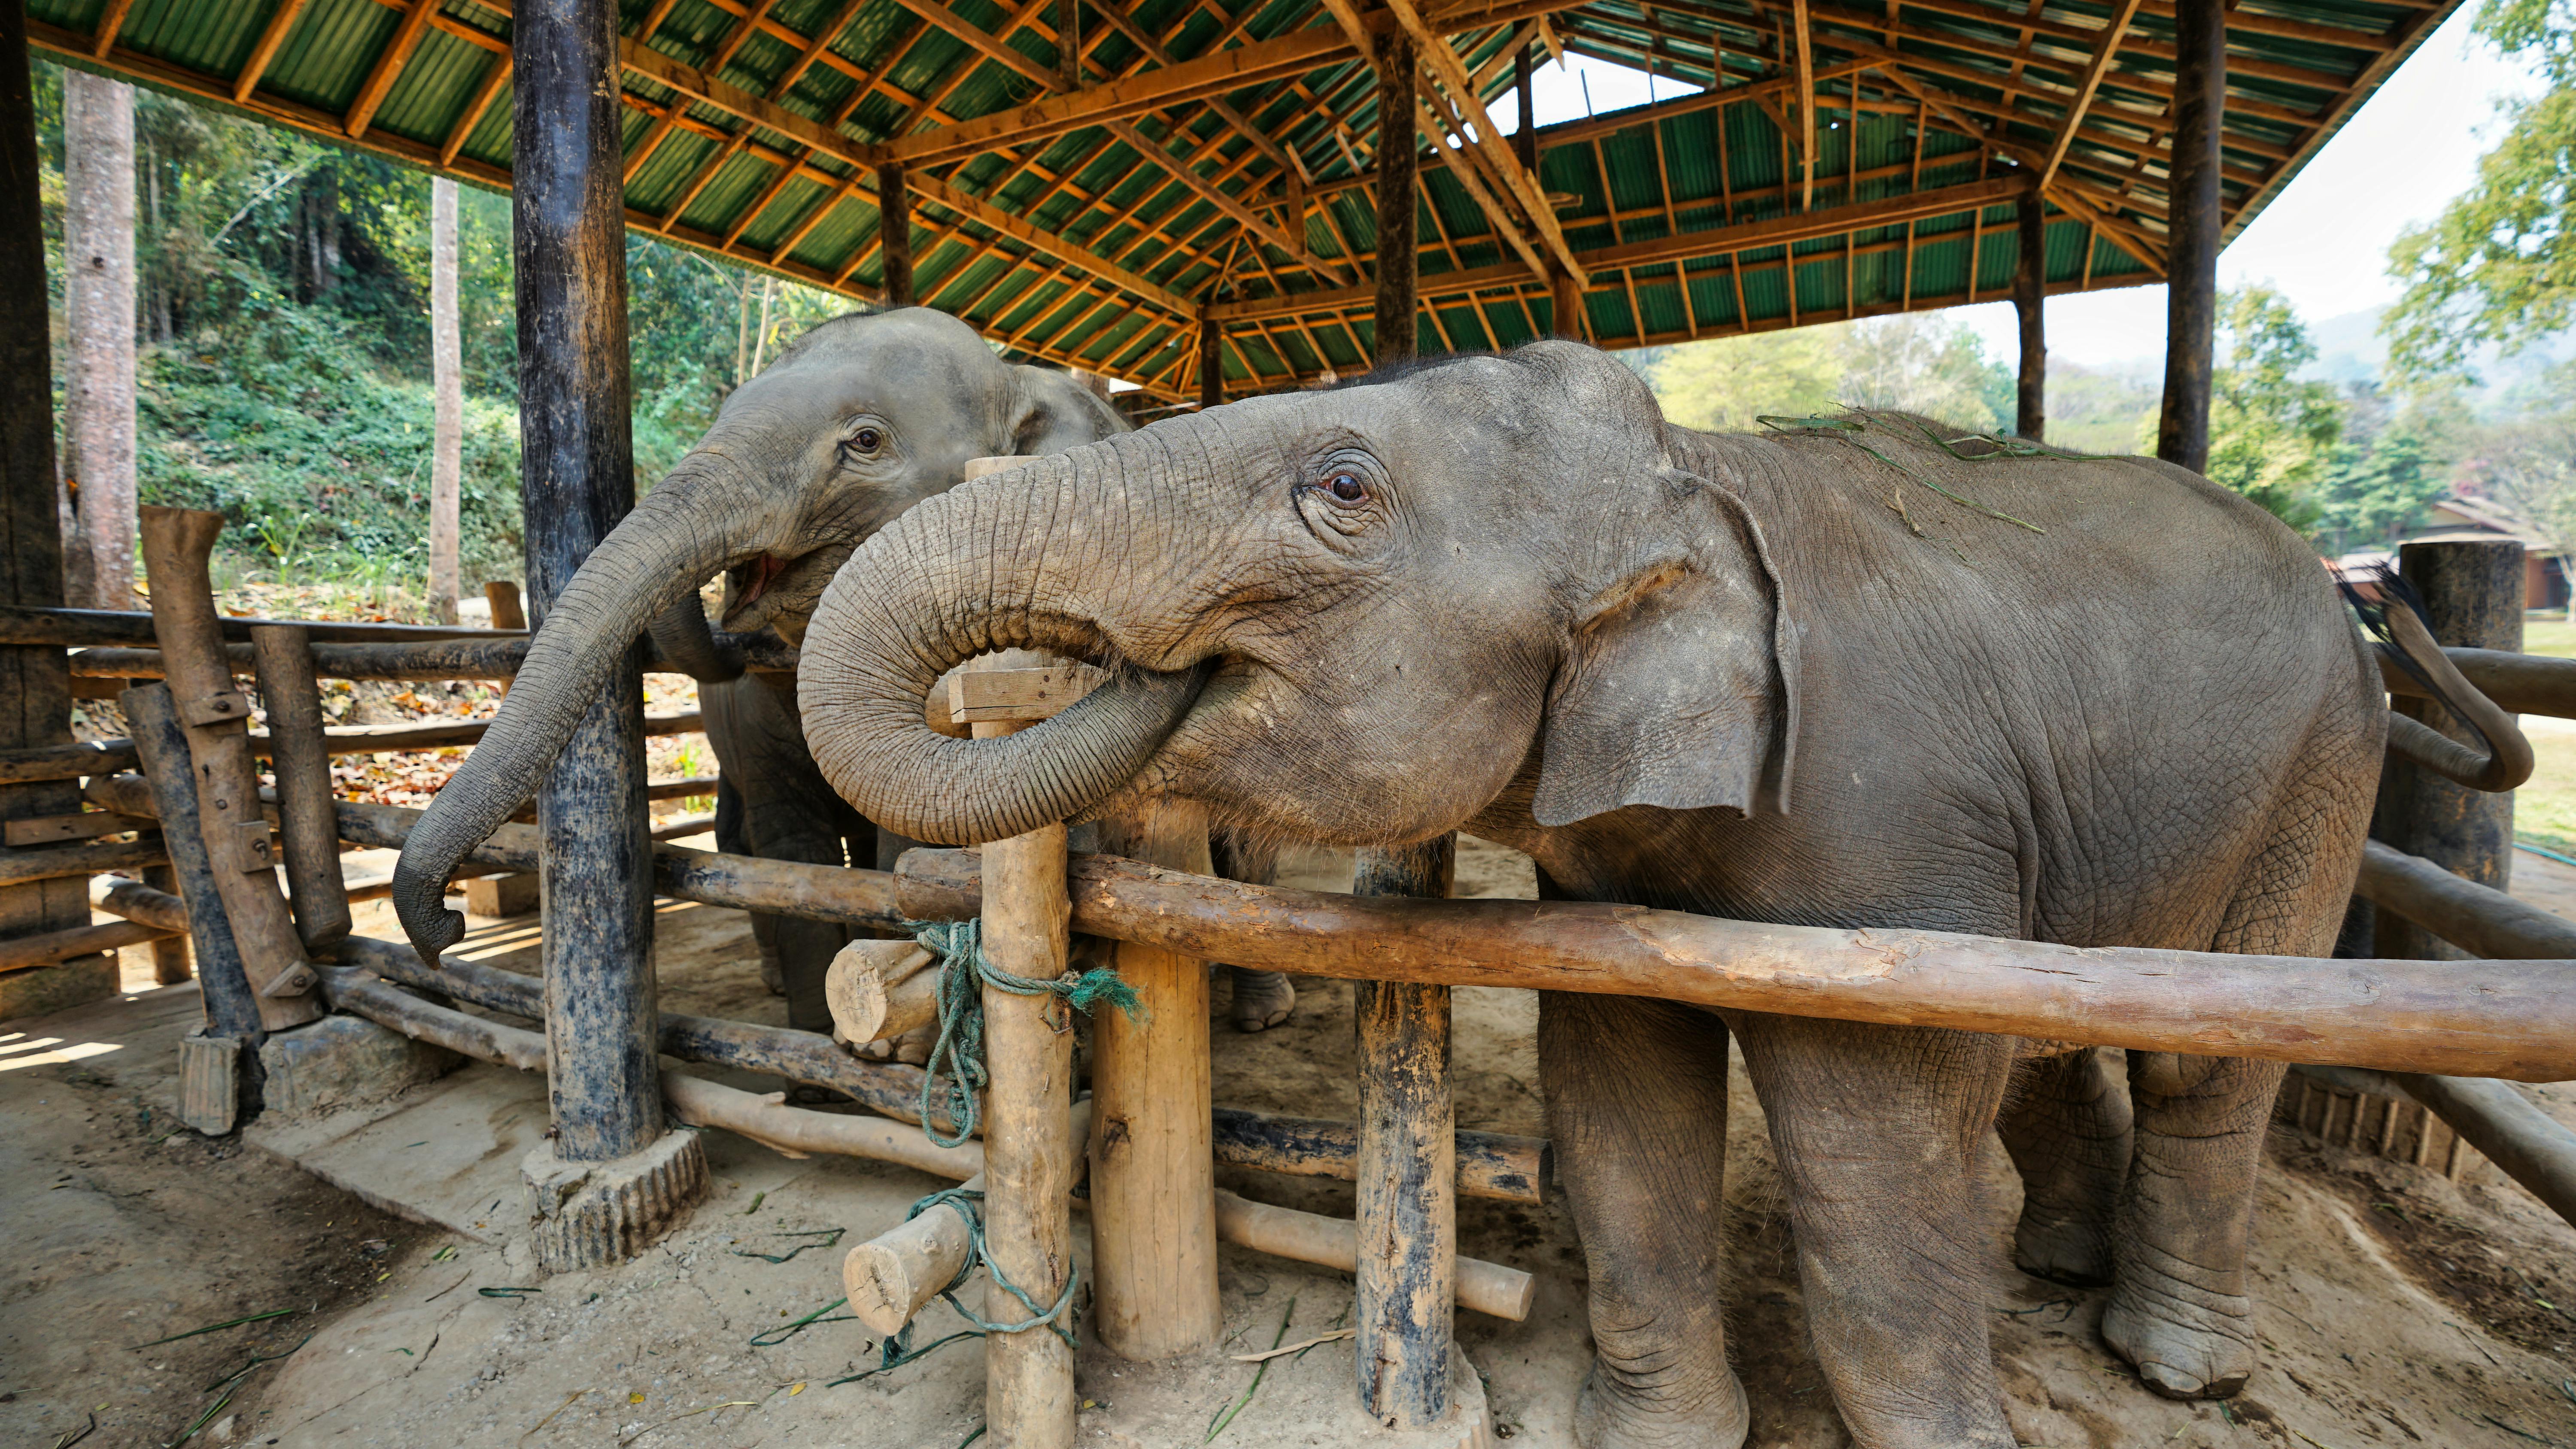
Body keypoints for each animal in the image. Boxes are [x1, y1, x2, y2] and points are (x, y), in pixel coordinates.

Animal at [395, 307, 1298, 1035]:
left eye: (865, 441)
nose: (448, 930)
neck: (1017, 376)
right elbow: (792, 856)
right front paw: (820, 1070)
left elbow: (923, 844)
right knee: (742, 839)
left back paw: (1263, 1014)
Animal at [783, 341, 2525, 1448]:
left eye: (1340, 487)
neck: (1690, 460)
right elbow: (1623, 1091)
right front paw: (1666, 1434)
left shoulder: (1890, 816)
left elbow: (1870, 1144)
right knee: (2044, 1036)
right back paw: (2057, 1275)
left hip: (2320, 772)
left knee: (2197, 1067)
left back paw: (2167, 1368)